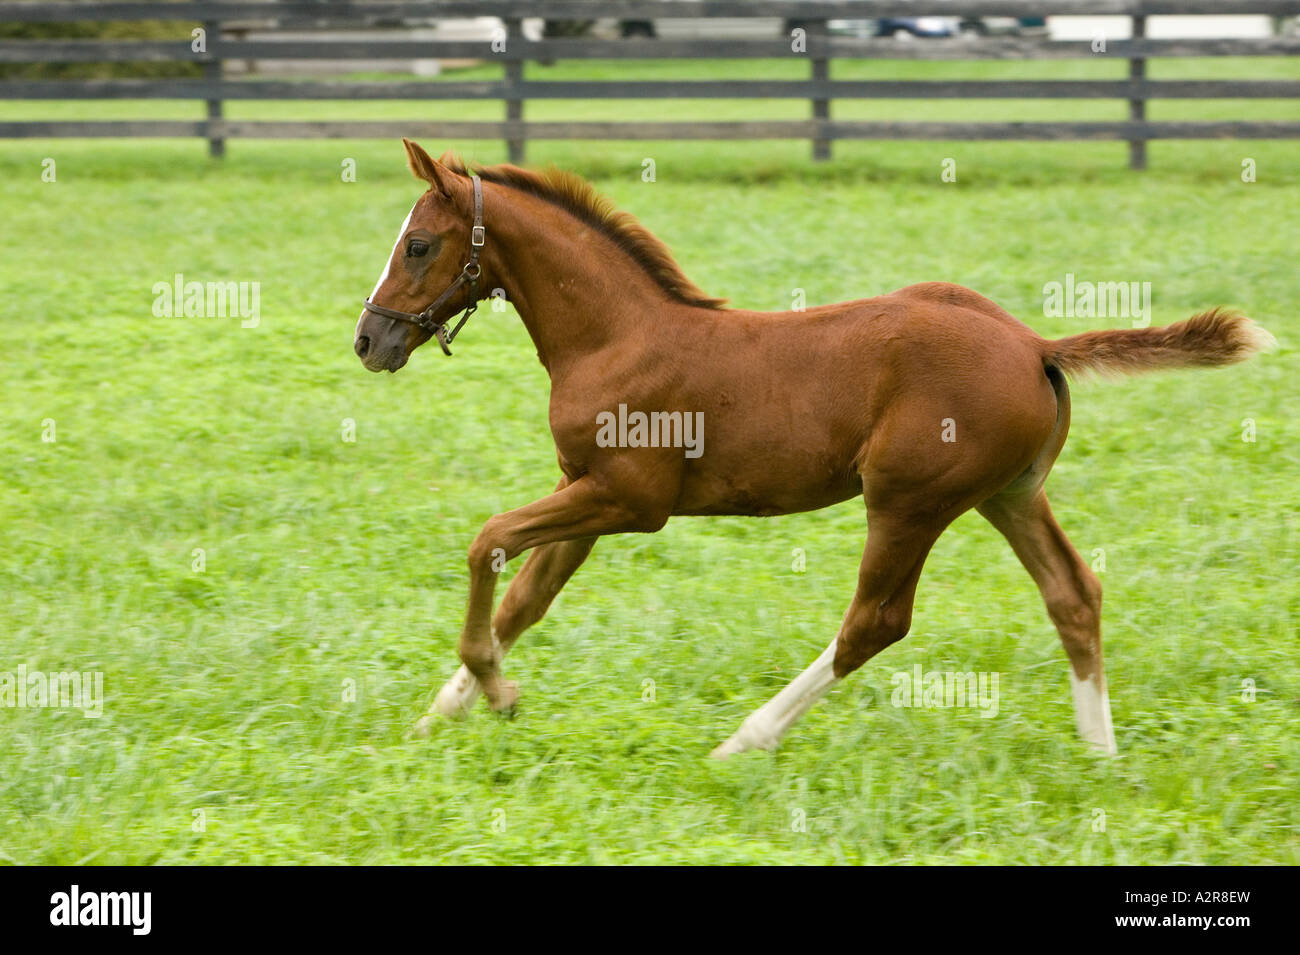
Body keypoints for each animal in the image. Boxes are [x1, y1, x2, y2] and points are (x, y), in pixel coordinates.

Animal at [353, 139, 1274, 757]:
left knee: (875, 622)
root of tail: (1034, 343)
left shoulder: (631, 500)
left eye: (420, 244)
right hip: (1006, 493)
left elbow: (487, 542)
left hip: (909, 499)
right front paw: (443, 714)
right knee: (1073, 594)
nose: (368, 341)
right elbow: (523, 599)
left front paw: (493, 690)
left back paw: (744, 739)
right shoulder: (586, 490)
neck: (616, 333)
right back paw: (1100, 756)